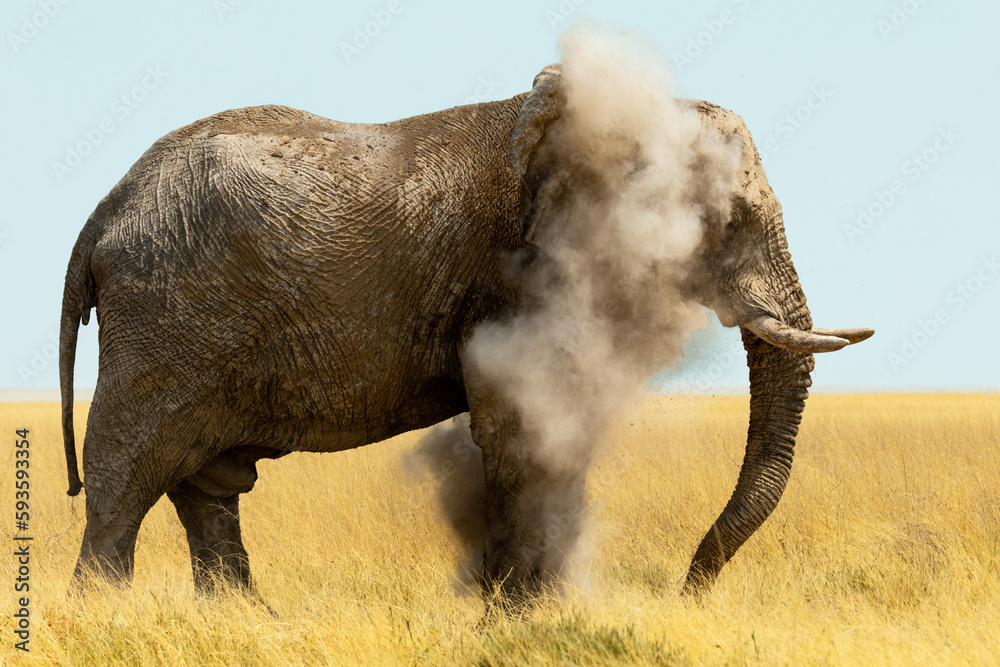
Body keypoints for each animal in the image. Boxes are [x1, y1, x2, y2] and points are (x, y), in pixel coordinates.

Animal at [59, 62, 872, 602]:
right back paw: (106, 619)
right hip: (166, 318)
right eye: (722, 221)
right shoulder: (514, 275)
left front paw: (540, 610)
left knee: (208, 484)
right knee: (126, 475)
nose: (686, 590)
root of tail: (102, 212)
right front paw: (516, 615)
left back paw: (245, 620)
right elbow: (520, 421)